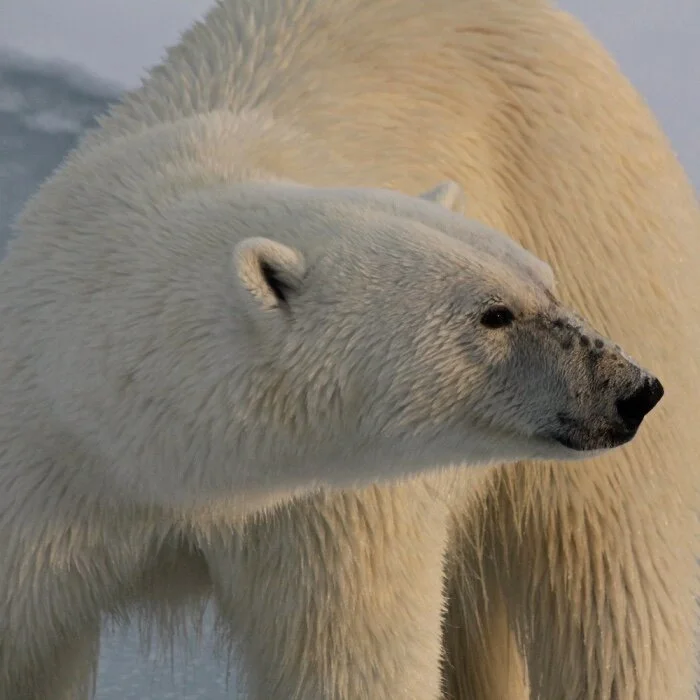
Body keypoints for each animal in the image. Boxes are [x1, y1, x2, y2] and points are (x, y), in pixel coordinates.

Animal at [3, 0, 698, 698]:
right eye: (495, 314)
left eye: (545, 284)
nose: (632, 389)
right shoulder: (41, 476)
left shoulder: (329, 511)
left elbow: (351, 662)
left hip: (596, 217)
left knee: (614, 594)